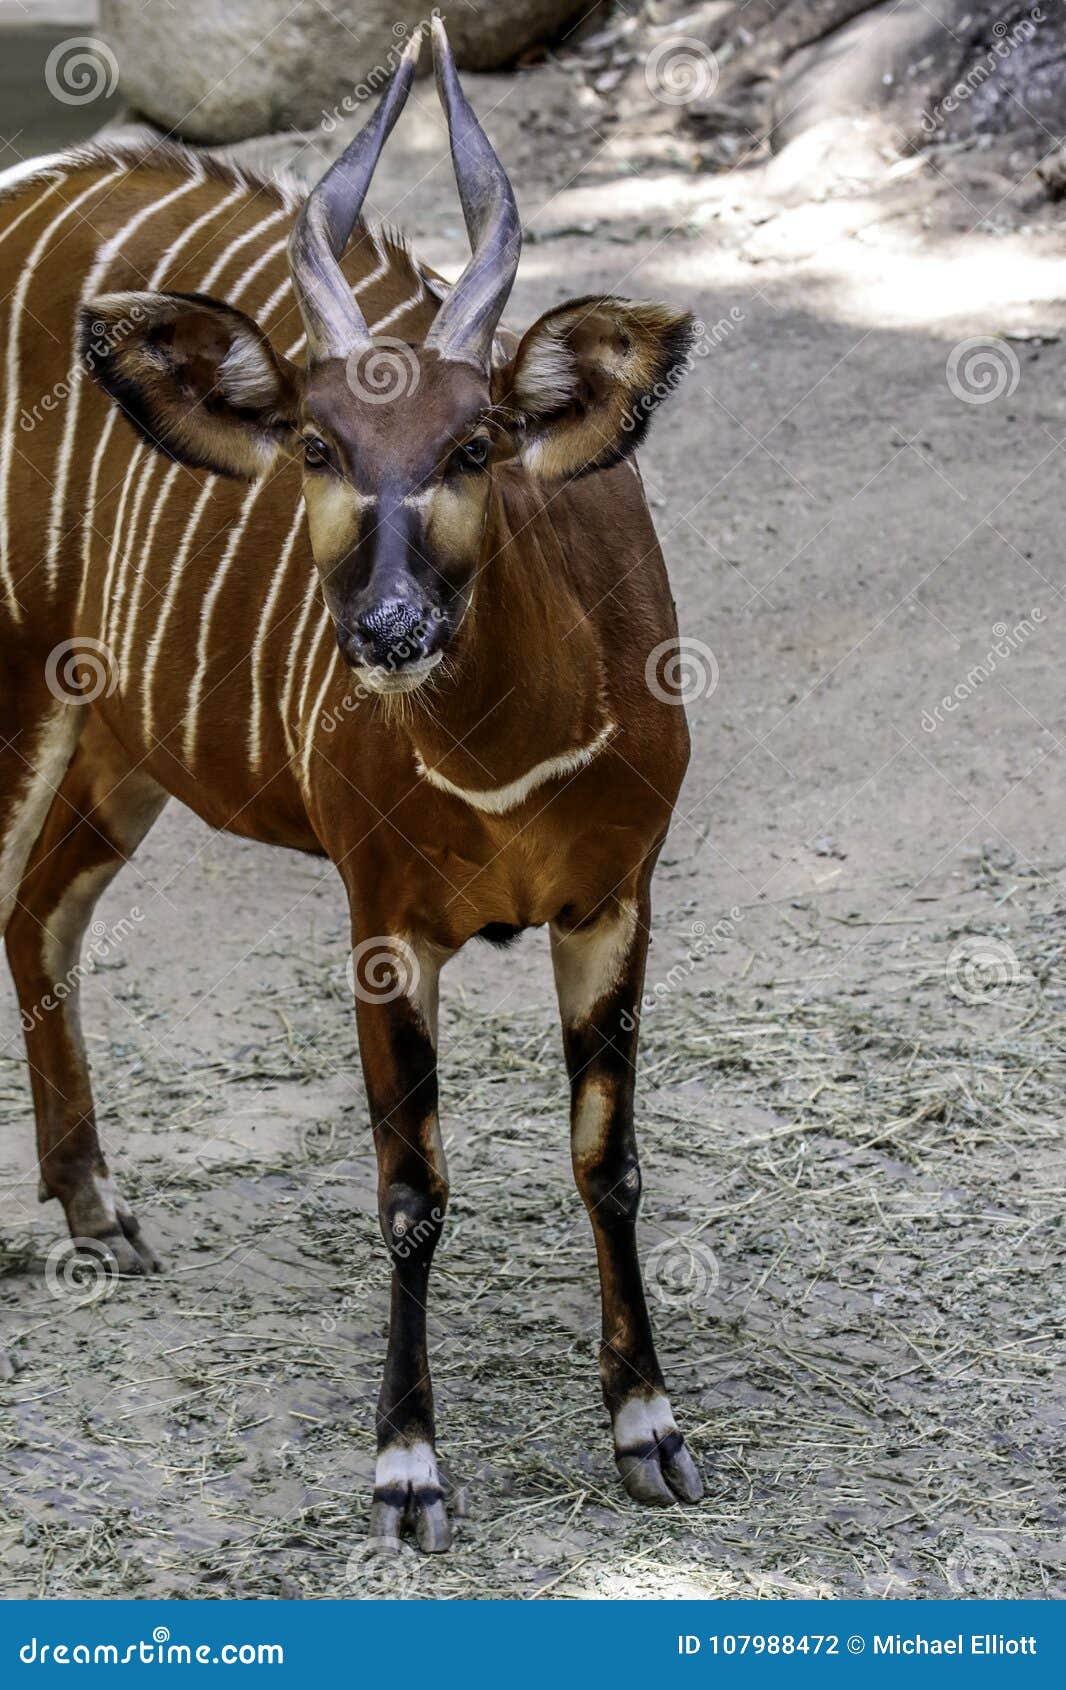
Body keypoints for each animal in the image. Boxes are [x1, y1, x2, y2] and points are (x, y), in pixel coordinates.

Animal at [0, 20, 702, 1551]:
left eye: (475, 444)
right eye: (317, 447)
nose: (383, 630)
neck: (501, 760)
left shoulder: (614, 898)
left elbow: (607, 1159)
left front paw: (648, 1427)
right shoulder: (384, 918)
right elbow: (410, 1187)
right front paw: (408, 1467)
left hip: (118, 744)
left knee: (37, 916)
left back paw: (97, 1213)